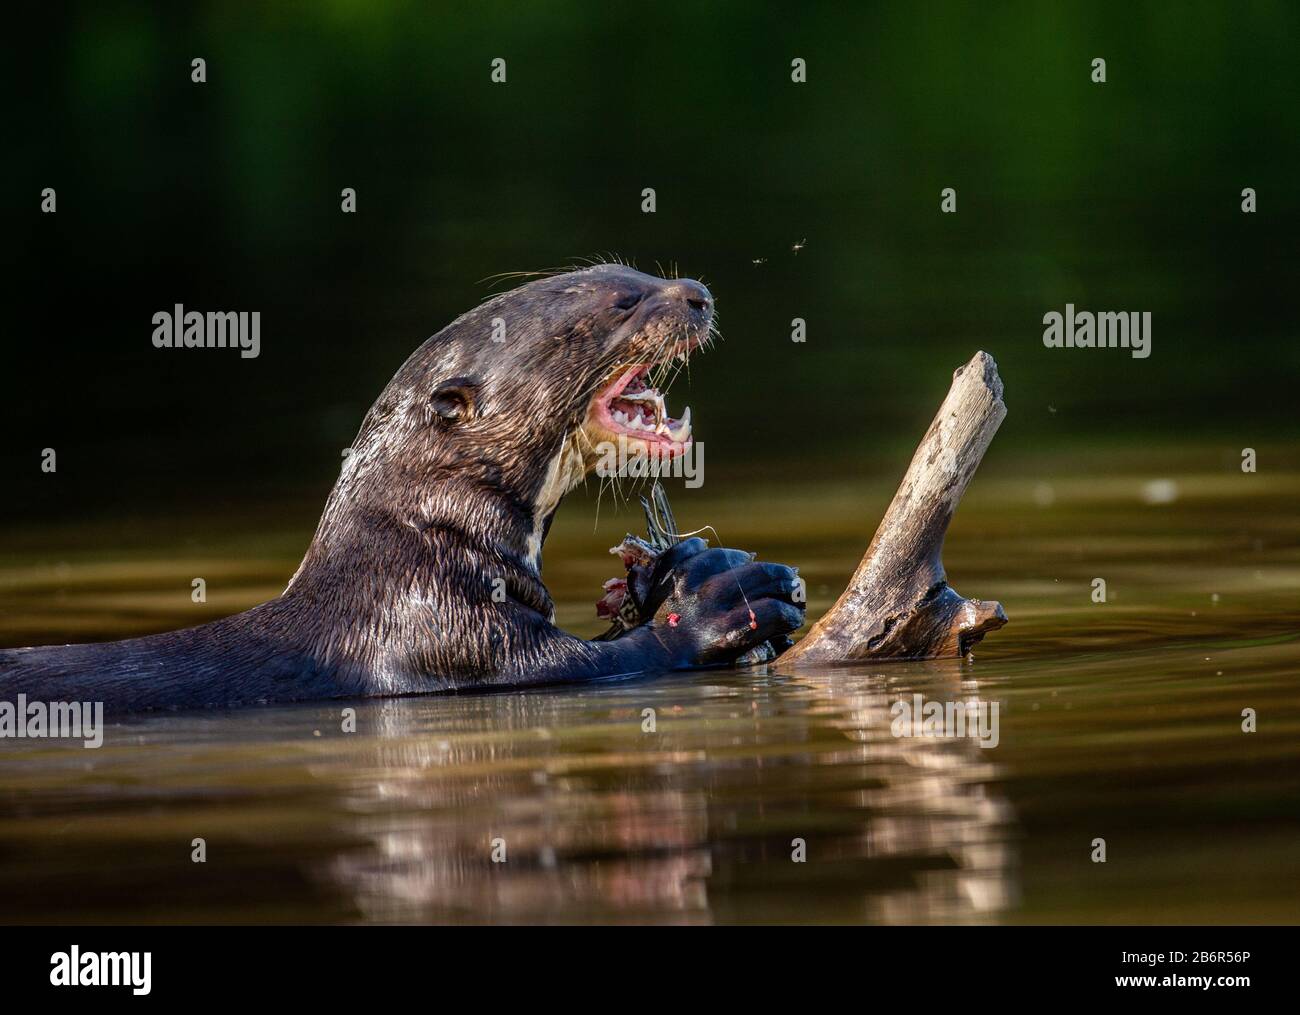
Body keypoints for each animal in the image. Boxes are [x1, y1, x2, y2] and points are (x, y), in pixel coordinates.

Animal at [0, 265, 805, 712]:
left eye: (638, 271)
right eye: (621, 302)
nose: (695, 294)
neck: (414, 553)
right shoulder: (444, 636)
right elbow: (610, 659)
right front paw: (723, 599)